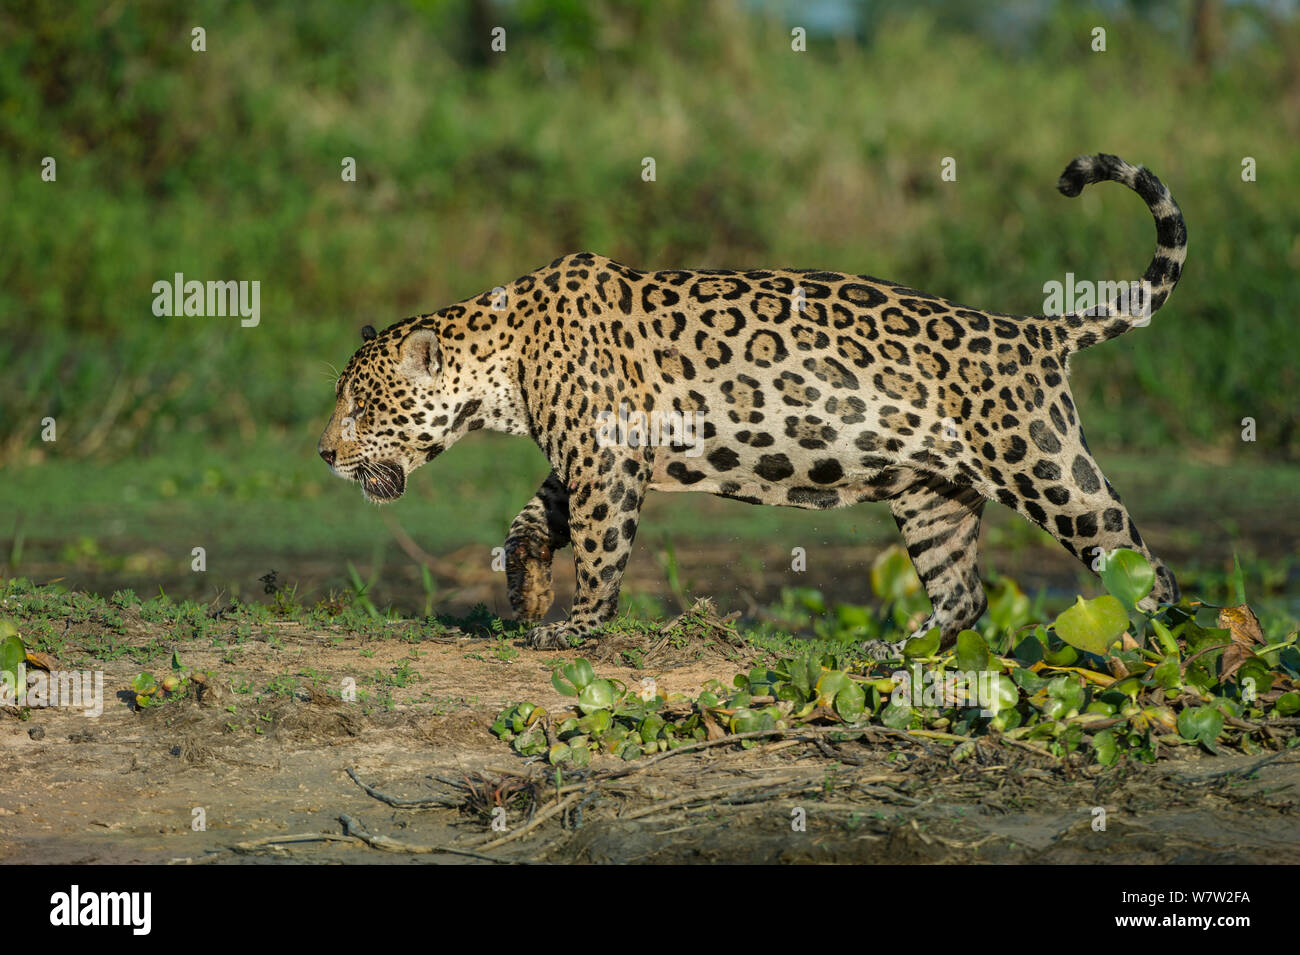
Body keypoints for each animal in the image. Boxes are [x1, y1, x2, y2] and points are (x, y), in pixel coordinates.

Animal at [318, 153, 1186, 655]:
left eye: (359, 408)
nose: (325, 453)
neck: (502, 358)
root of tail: (1037, 329)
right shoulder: (590, 455)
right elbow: (532, 517)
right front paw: (527, 589)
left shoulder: (603, 458)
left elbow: (600, 548)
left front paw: (576, 625)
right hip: (932, 494)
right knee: (964, 595)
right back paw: (893, 653)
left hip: (1047, 468)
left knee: (1138, 562)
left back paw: (1170, 655)